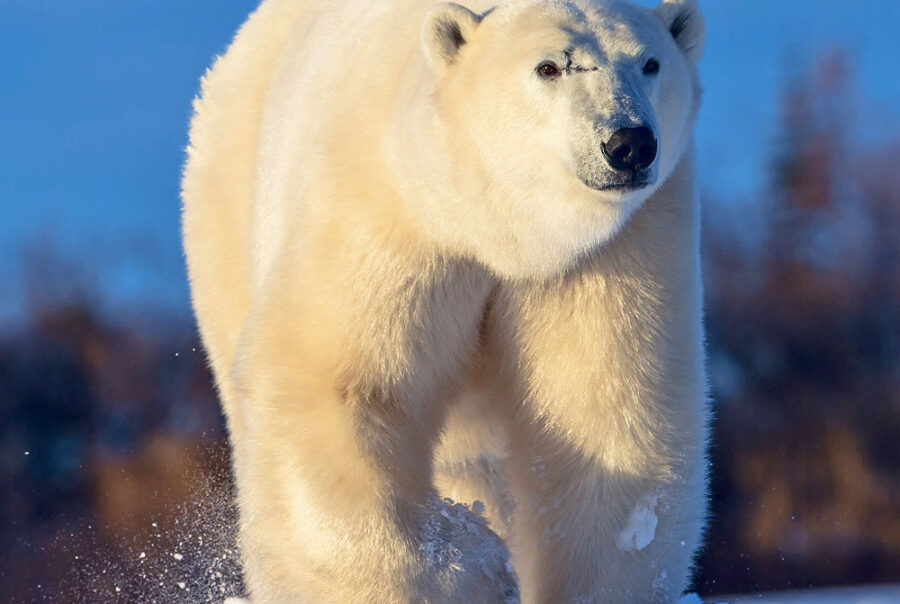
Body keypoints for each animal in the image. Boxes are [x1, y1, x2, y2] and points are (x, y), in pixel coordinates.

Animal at [181, 0, 708, 601]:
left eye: (650, 63)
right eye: (550, 66)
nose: (628, 144)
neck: (500, 229)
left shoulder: (614, 246)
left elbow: (605, 412)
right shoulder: (392, 213)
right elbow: (342, 384)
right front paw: (471, 565)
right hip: (226, 214)